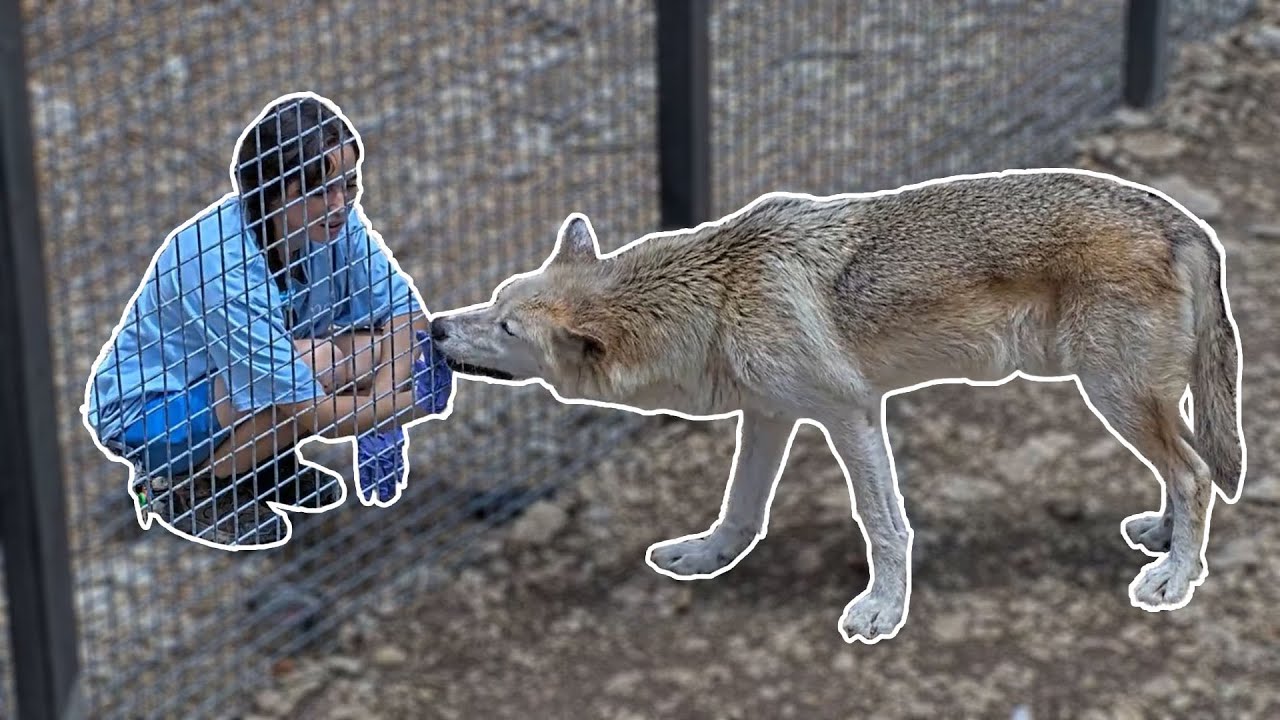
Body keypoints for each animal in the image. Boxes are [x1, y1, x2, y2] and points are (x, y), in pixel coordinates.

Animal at [428, 168, 1246, 644]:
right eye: (494, 303)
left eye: (505, 328)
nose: (434, 328)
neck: (717, 300)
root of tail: (1190, 224)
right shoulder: (768, 418)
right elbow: (741, 509)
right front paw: (707, 559)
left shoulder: (850, 414)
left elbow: (883, 525)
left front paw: (883, 610)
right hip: (1131, 400)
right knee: (1188, 471)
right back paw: (1165, 539)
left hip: (1112, 395)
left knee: (1197, 473)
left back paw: (1176, 576)